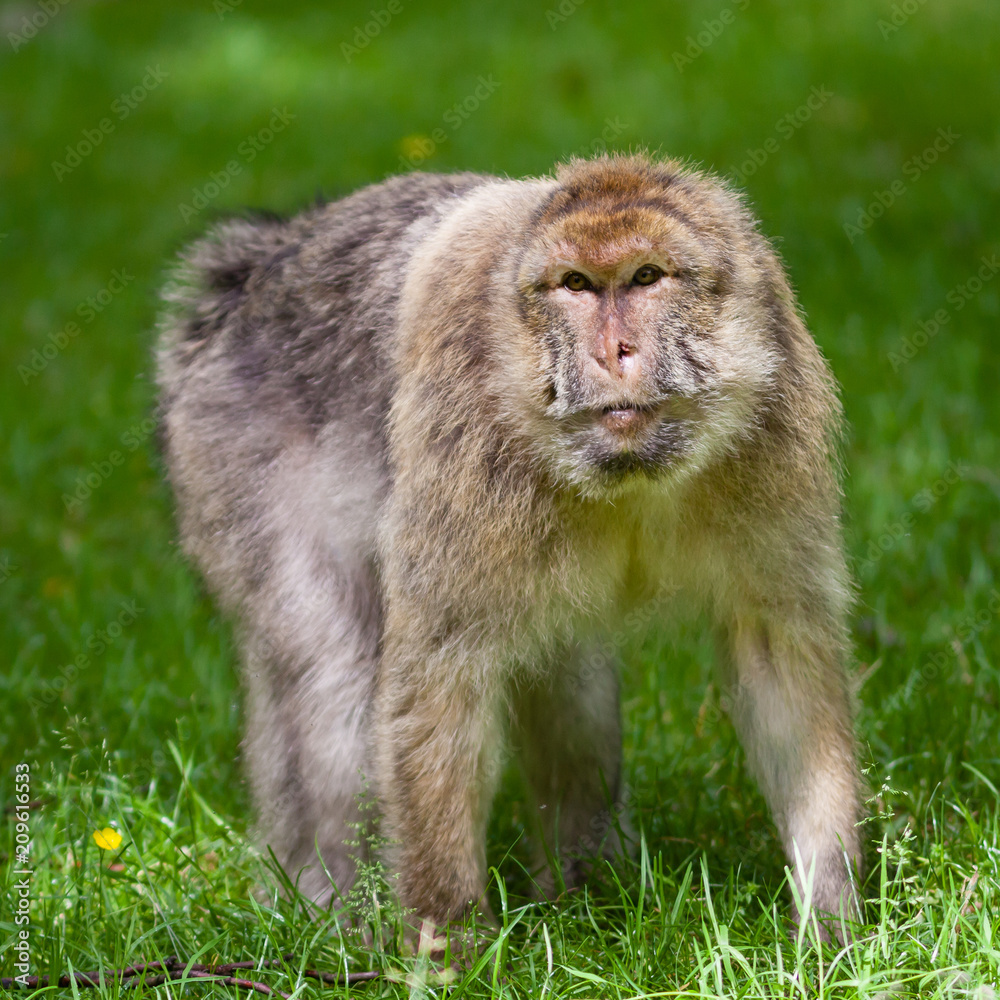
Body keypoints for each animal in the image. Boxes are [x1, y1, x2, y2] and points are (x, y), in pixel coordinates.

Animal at [156, 153, 863, 946]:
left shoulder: (775, 429)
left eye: (646, 278)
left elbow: (777, 658)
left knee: (573, 686)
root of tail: (256, 265)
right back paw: (330, 909)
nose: (612, 351)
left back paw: (587, 895)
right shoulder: (464, 442)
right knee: (329, 676)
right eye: (576, 285)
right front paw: (448, 942)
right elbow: (438, 680)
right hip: (232, 454)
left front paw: (831, 919)